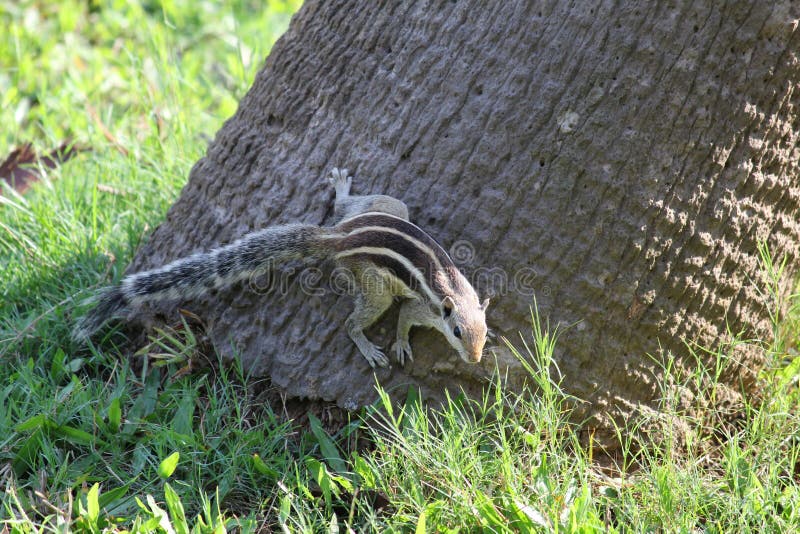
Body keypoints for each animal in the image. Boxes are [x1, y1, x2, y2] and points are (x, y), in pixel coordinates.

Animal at [74, 168, 489, 368]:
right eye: (456, 332)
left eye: (485, 334)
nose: (474, 359)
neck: (455, 295)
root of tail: (338, 238)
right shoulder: (422, 308)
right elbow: (404, 317)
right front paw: (402, 343)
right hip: (373, 283)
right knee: (355, 319)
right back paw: (366, 346)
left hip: (388, 209)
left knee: (357, 208)